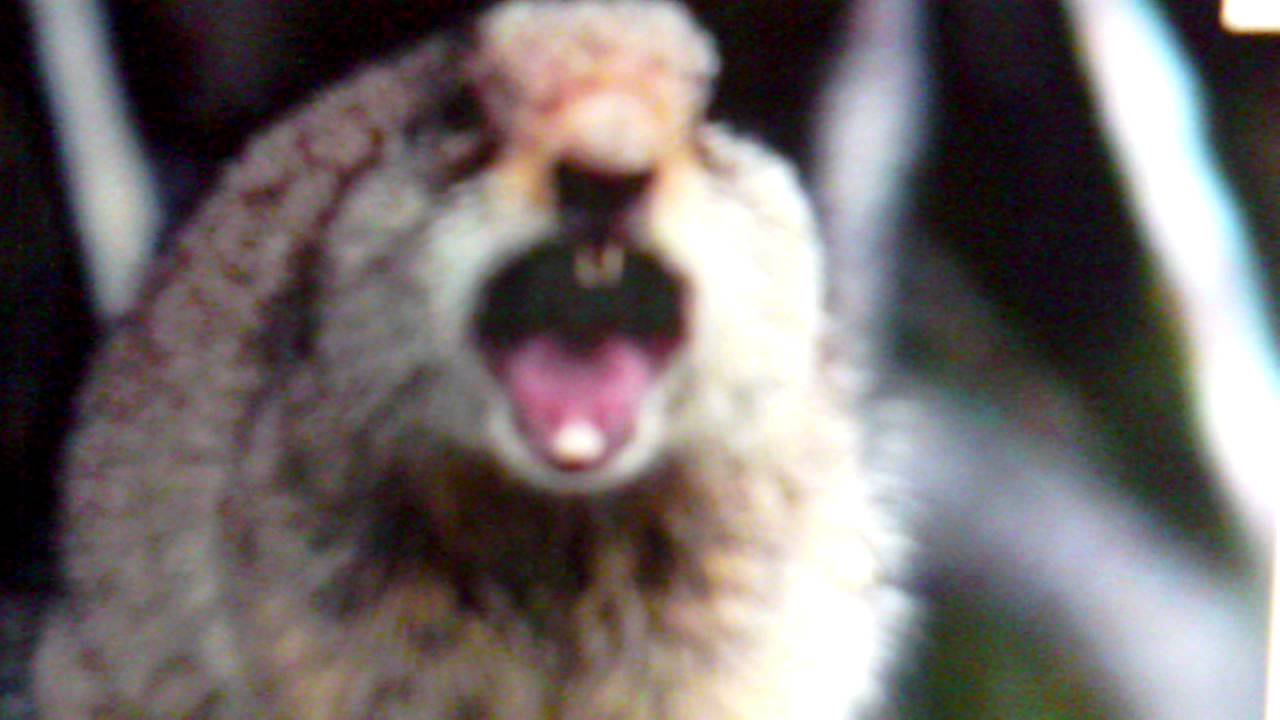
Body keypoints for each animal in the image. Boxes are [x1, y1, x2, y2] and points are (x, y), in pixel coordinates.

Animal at [36, 2, 907, 717]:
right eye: (463, 104)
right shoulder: (338, 597)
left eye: (710, 110)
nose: (607, 166)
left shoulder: (731, 609)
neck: (564, 519)